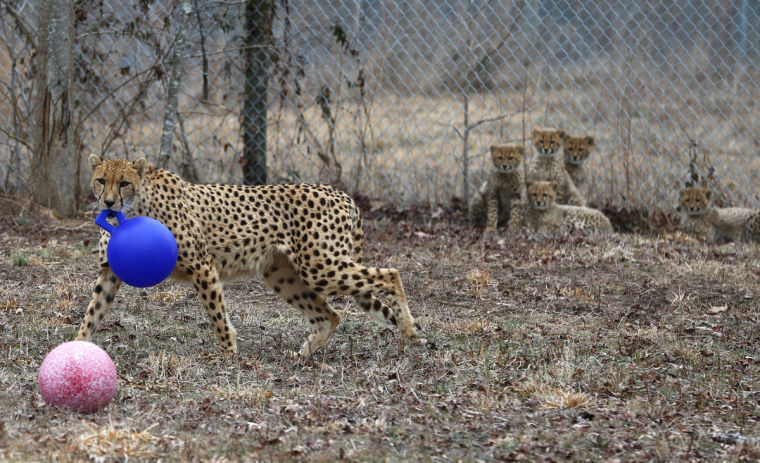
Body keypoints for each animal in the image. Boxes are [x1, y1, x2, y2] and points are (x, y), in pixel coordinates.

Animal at [76, 155, 425, 360]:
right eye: (101, 180)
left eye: (124, 183)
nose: (108, 202)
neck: (133, 209)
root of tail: (340, 192)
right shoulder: (110, 272)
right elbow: (92, 312)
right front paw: (76, 349)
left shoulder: (202, 265)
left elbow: (217, 314)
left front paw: (227, 355)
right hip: (283, 275)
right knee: (330, 314)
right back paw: (302, 354)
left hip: (321, 266)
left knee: (390, 274)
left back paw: (409, 331)